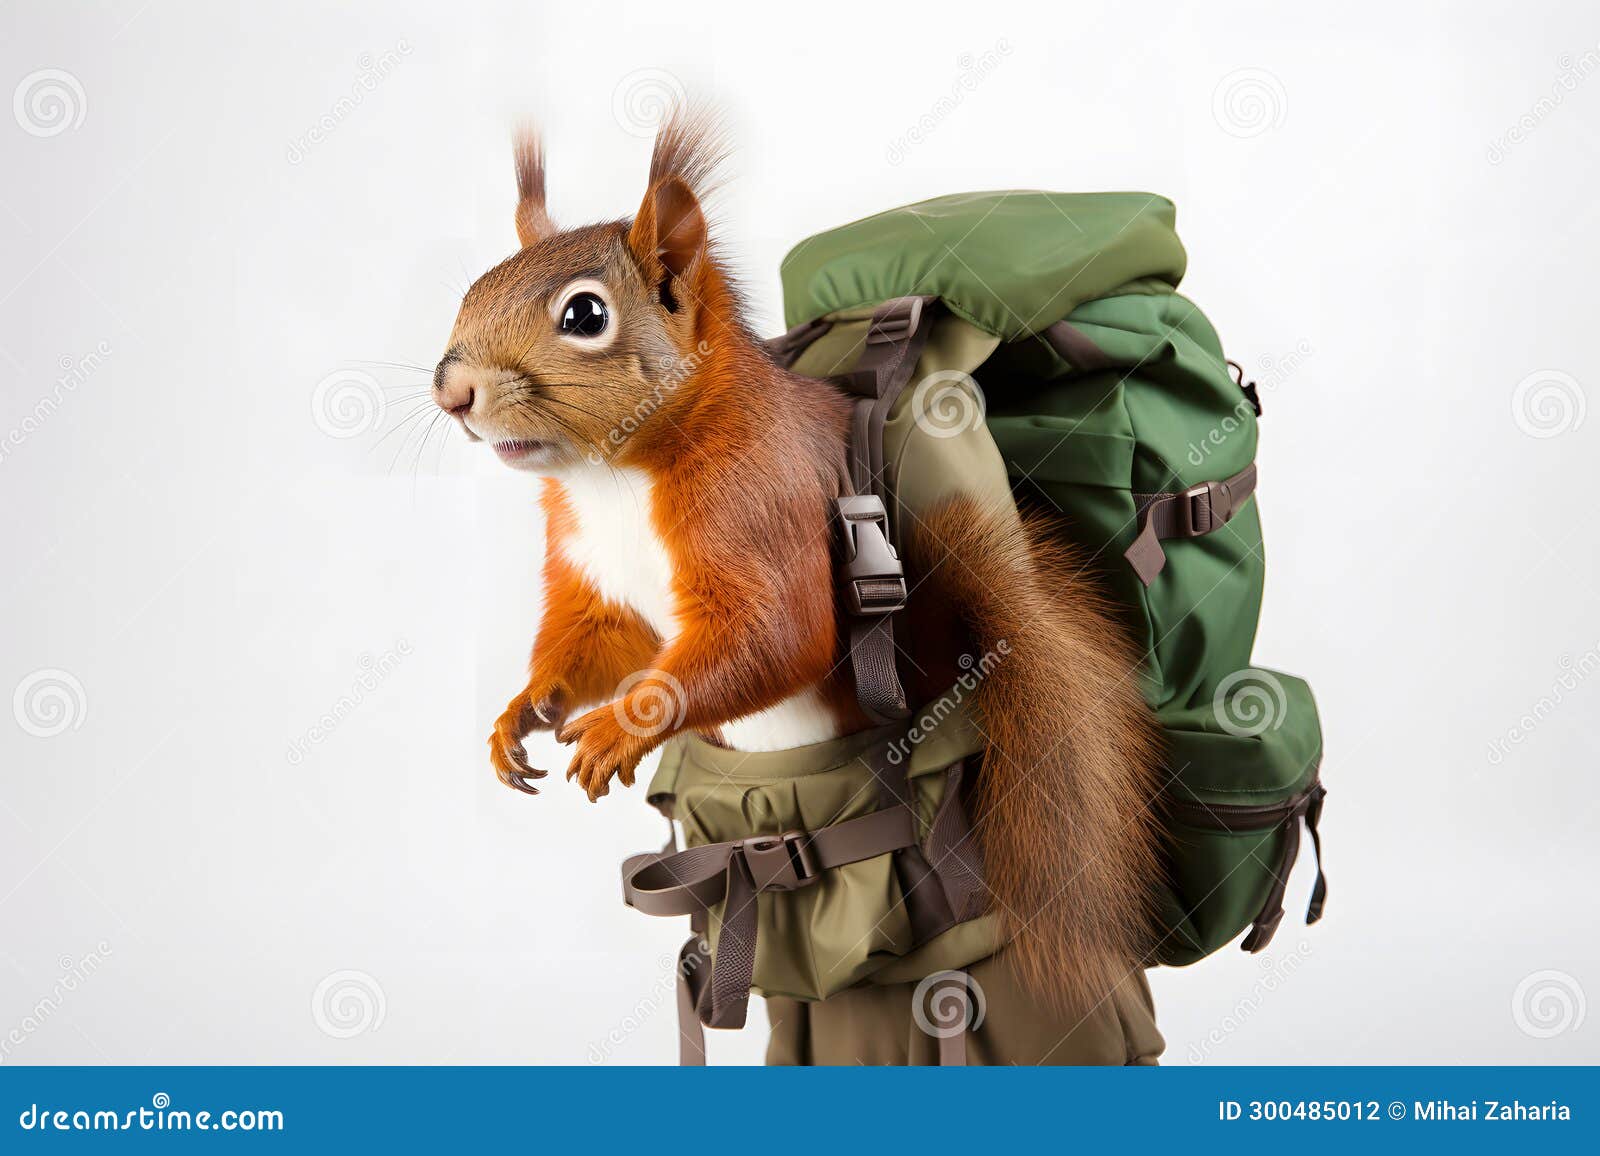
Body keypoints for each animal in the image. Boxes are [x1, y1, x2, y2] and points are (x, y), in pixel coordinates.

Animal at [432, 107, 1161, 1008]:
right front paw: (525, 711)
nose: (451, 391)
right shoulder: (593, 569)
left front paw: (621, 727)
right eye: (473, 288)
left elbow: (780, 632)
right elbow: (601, 639)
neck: (612, 476)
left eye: (584, 316)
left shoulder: (759, 504)